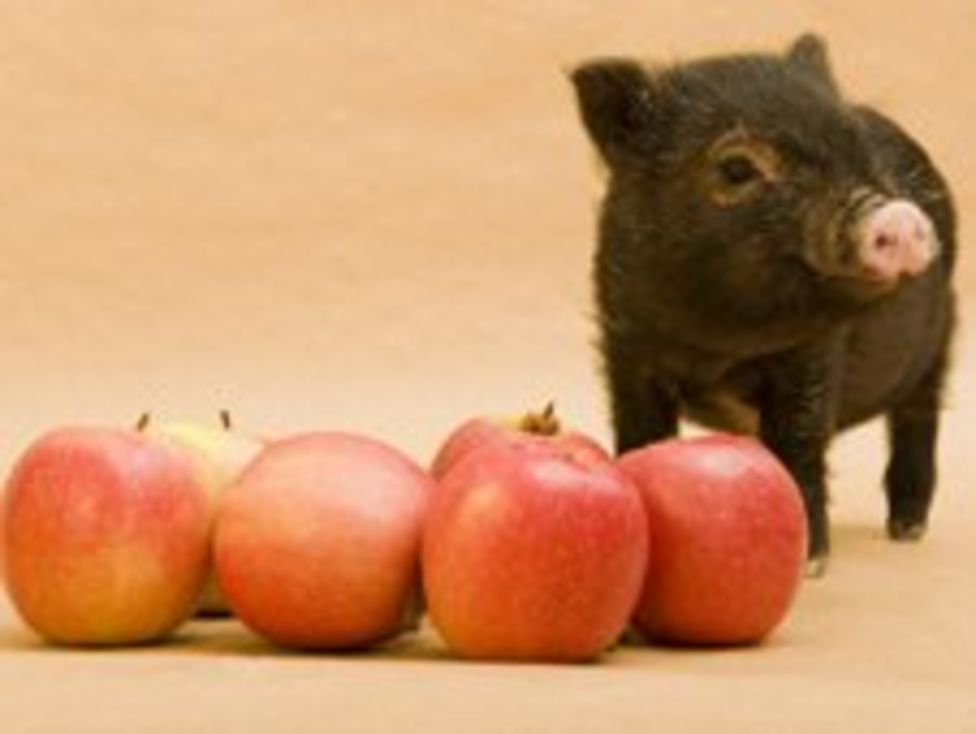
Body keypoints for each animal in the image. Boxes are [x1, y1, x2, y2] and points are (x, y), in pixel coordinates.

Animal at [570, 34, 957, 575]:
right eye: (737, 168)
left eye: (857, 150)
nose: (899, 214)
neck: (718, 342)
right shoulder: (625, 342)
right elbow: (641, 430)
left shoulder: (813, 353)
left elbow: (798, 440)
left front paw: (811, 564)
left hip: (940, 345)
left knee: (918, 421)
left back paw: (906, 531)